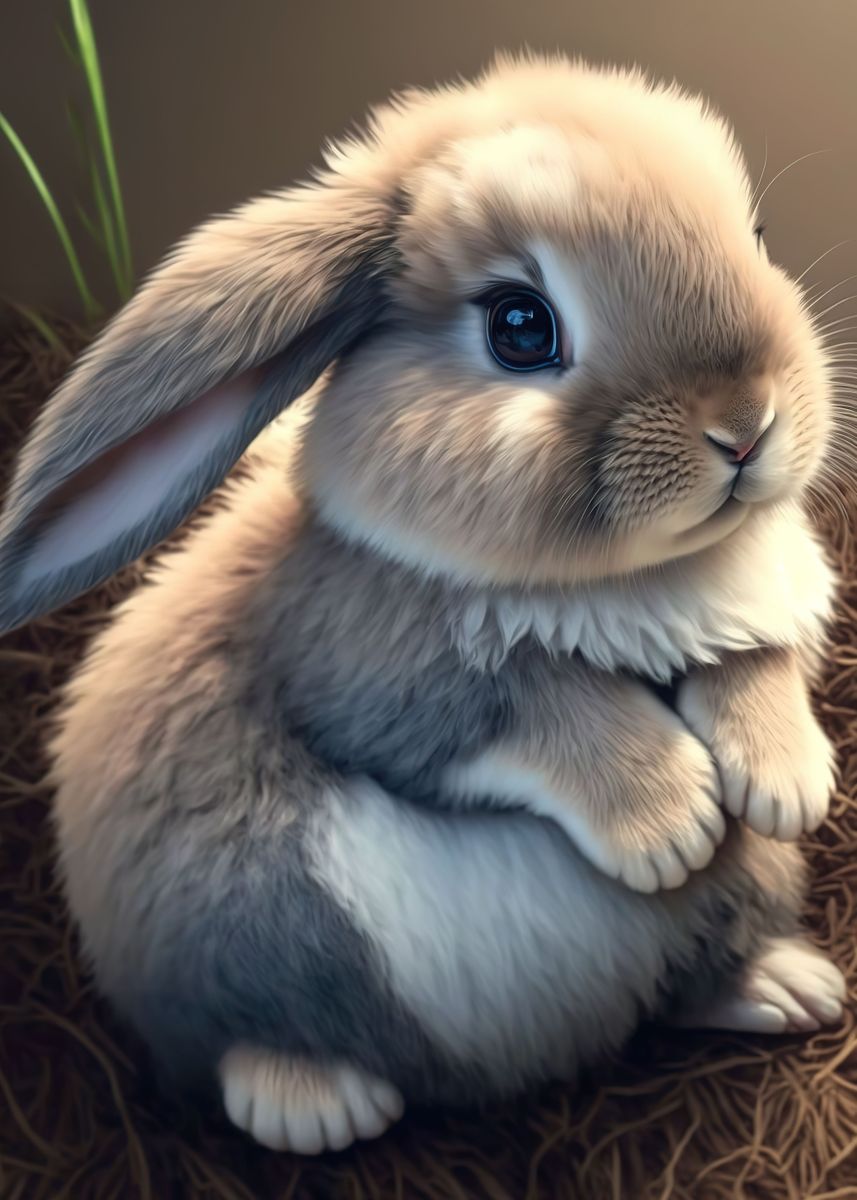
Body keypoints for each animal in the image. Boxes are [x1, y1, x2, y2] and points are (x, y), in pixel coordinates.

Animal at [0, 53, 846, 1154]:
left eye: (755, 235)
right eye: (519, 327)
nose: (745, 427)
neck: (619, 579)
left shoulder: (751, 621)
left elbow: (754, 667)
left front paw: (788, 789)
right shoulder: (368, 669)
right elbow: (547, 710)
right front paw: (669, 824)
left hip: (745, 890)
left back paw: (783, 987)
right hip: (239, 923)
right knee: (244, 1038)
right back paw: (310, 1103)